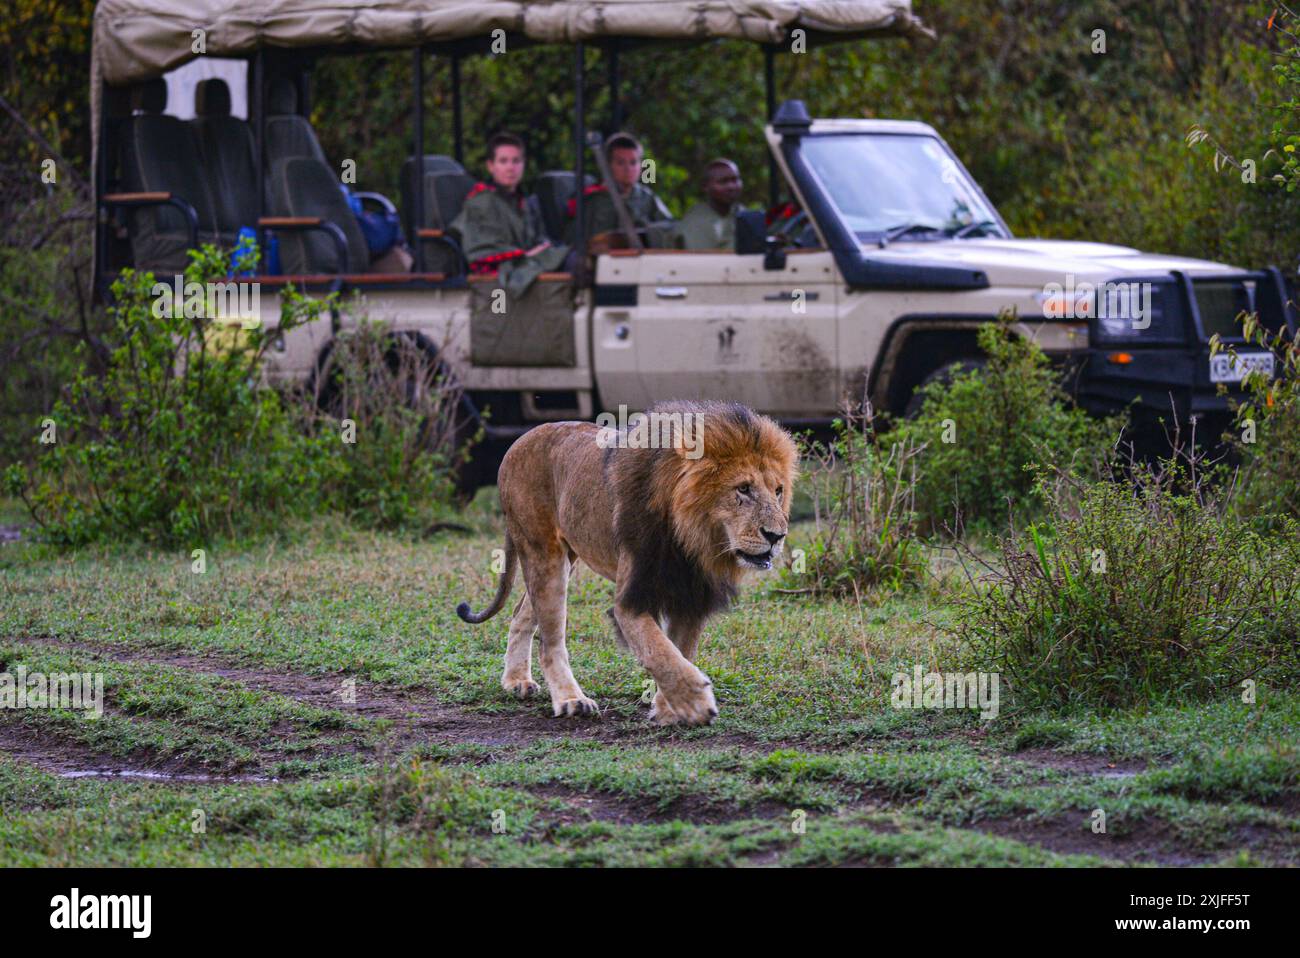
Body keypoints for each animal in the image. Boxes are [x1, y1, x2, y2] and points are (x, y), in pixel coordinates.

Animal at [456, 400, 798, 726]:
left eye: (778, 491)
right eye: (743, 488)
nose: (776, 536)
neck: (690, 536)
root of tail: (519, 441)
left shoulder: (691, 597)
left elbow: (679, 650)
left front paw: (669, 709)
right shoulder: (631, 600)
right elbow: (659, 650)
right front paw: (695, 703)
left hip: (563, 557)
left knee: (521, 612)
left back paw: (516, 681)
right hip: (543, 552)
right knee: (550, 641)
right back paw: (571, 700)